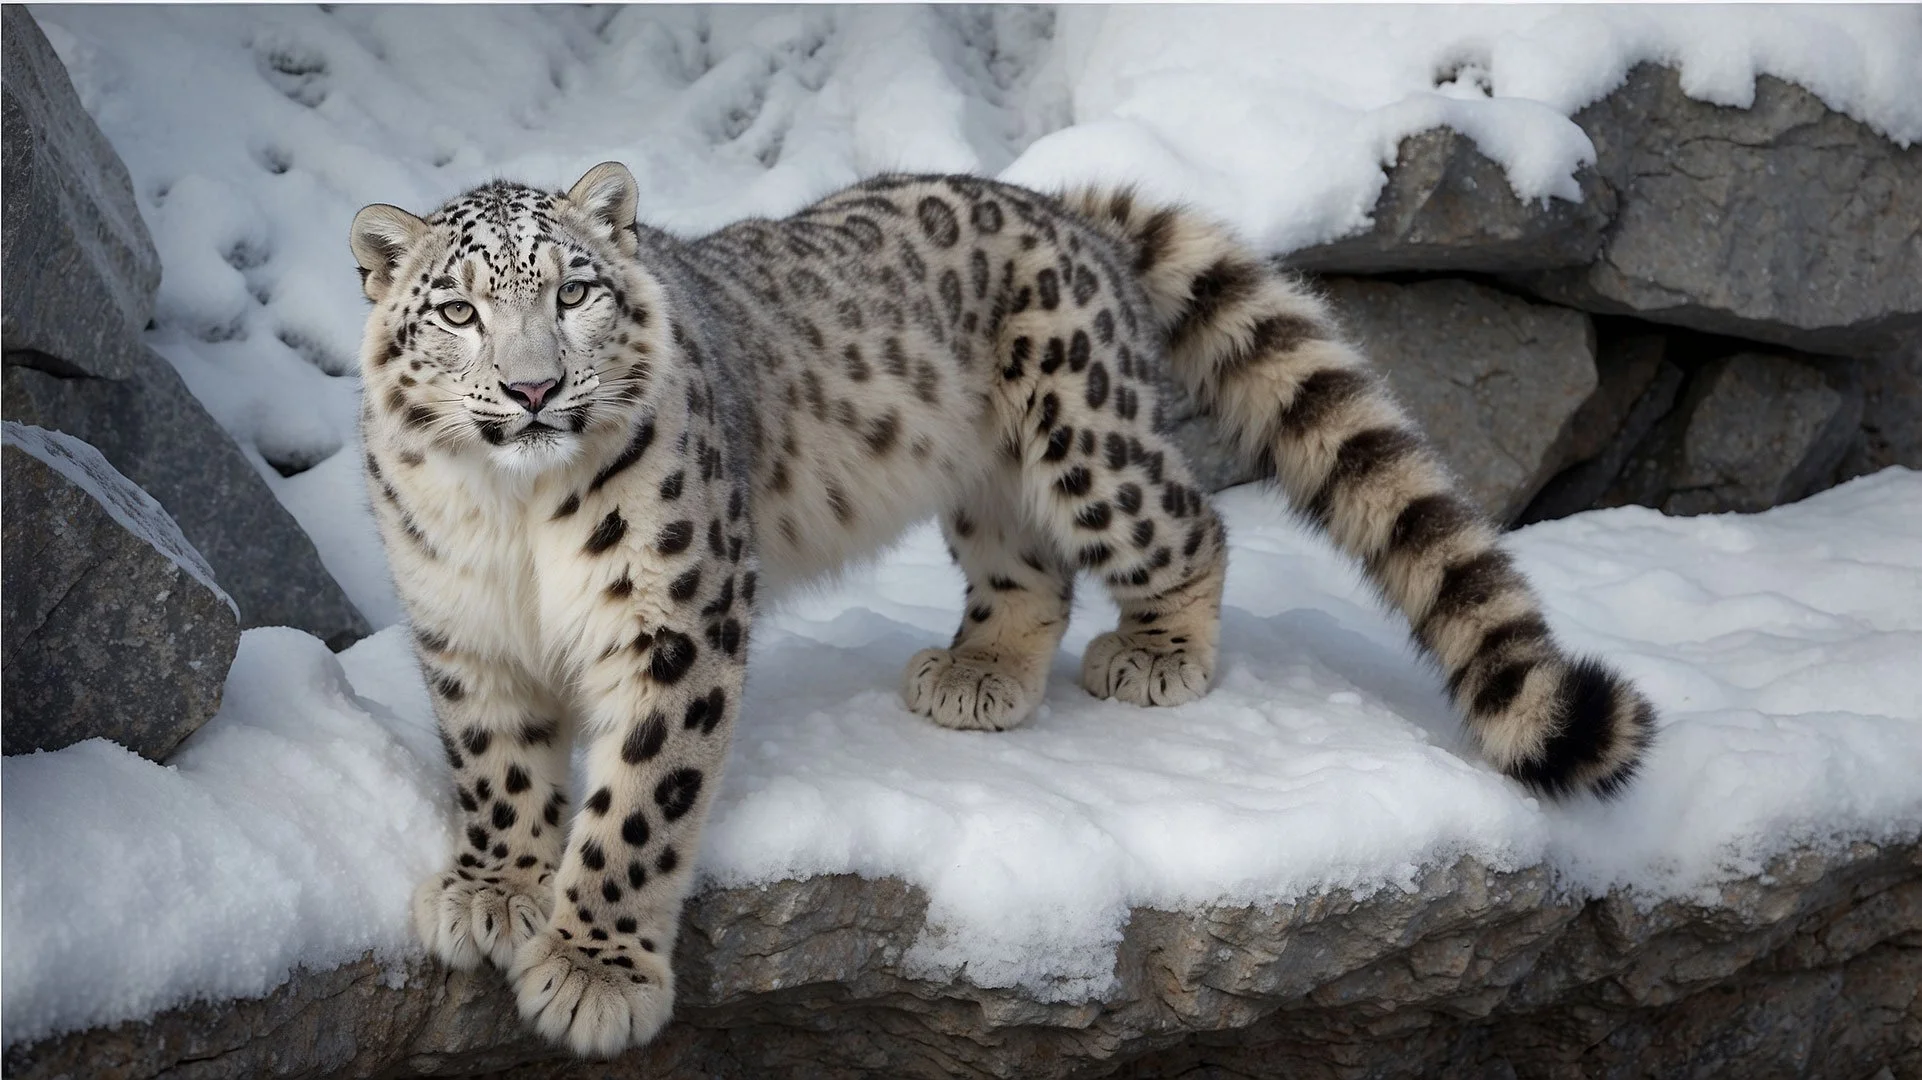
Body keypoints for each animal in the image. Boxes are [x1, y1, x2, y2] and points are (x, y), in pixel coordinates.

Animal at [349, 163, 1654, 1057]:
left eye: (573, 290)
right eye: (458, 311)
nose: (533, 388)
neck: (513, 519)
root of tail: (1055, 203)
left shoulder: (675, 614)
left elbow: (636, 805)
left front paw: (591, 974)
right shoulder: (459, 628)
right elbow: (494, 764)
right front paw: (492, 892)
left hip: (1087, 446)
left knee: (1189, 521)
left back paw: (1155, 652)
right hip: (990, 490)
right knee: (1030, 573)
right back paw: (976, 677)